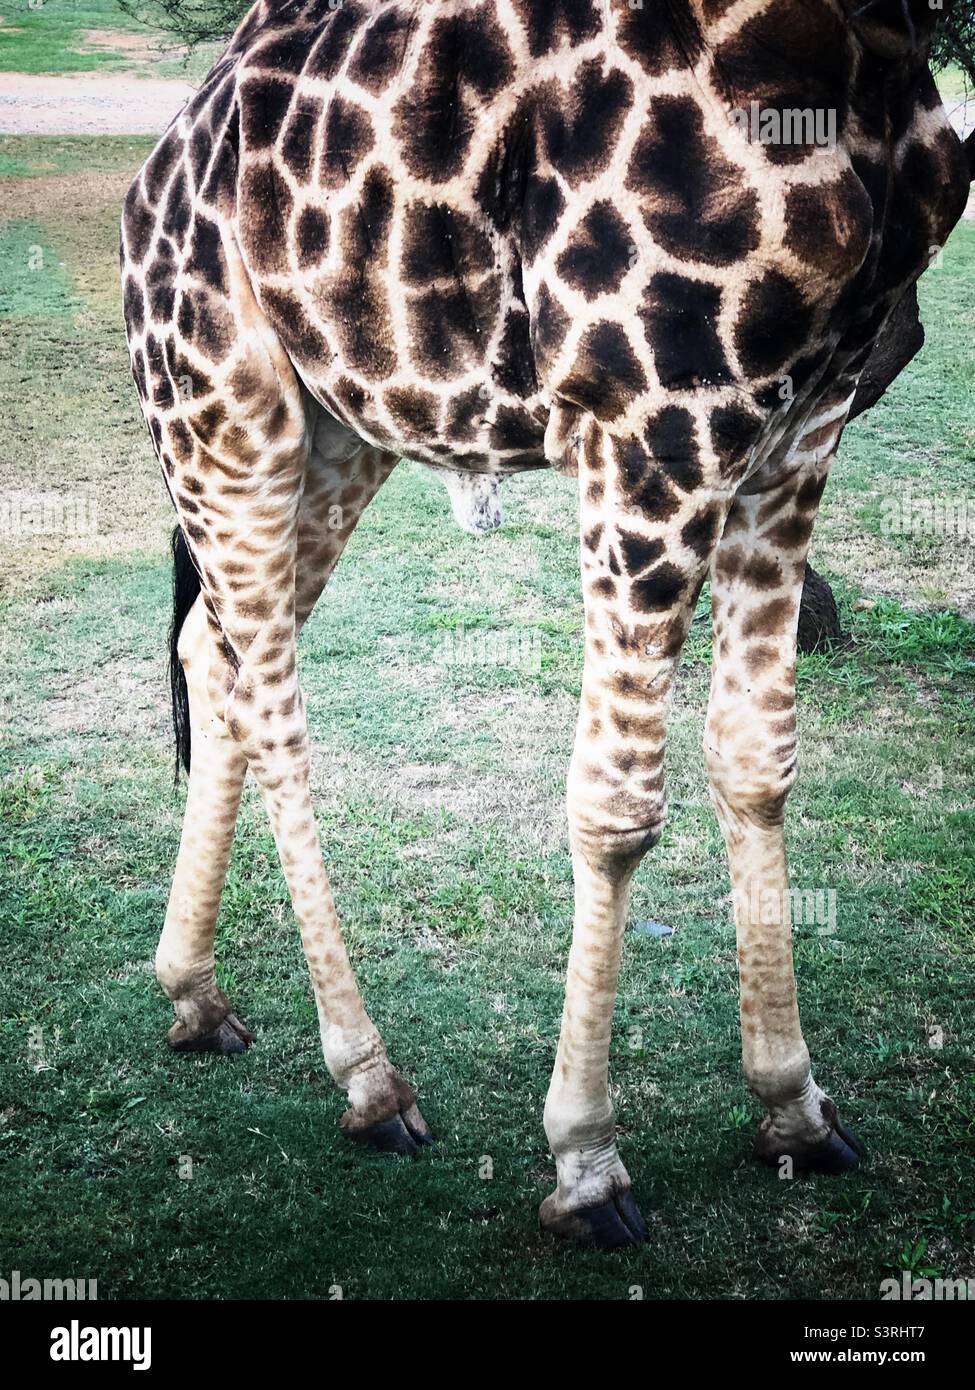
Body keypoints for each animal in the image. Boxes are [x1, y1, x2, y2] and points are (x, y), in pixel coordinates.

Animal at [120, 0, 969, 1248]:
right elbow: (617, 806)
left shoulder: (808, 413)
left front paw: (797, 1110)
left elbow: (757, 757)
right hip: (223, 398)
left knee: (212, 651)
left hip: (341, 425)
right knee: (273, 699)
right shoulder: (658, 419)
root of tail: (158, 171)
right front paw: (586, 1163)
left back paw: (196, 995)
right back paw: (370, 1082)